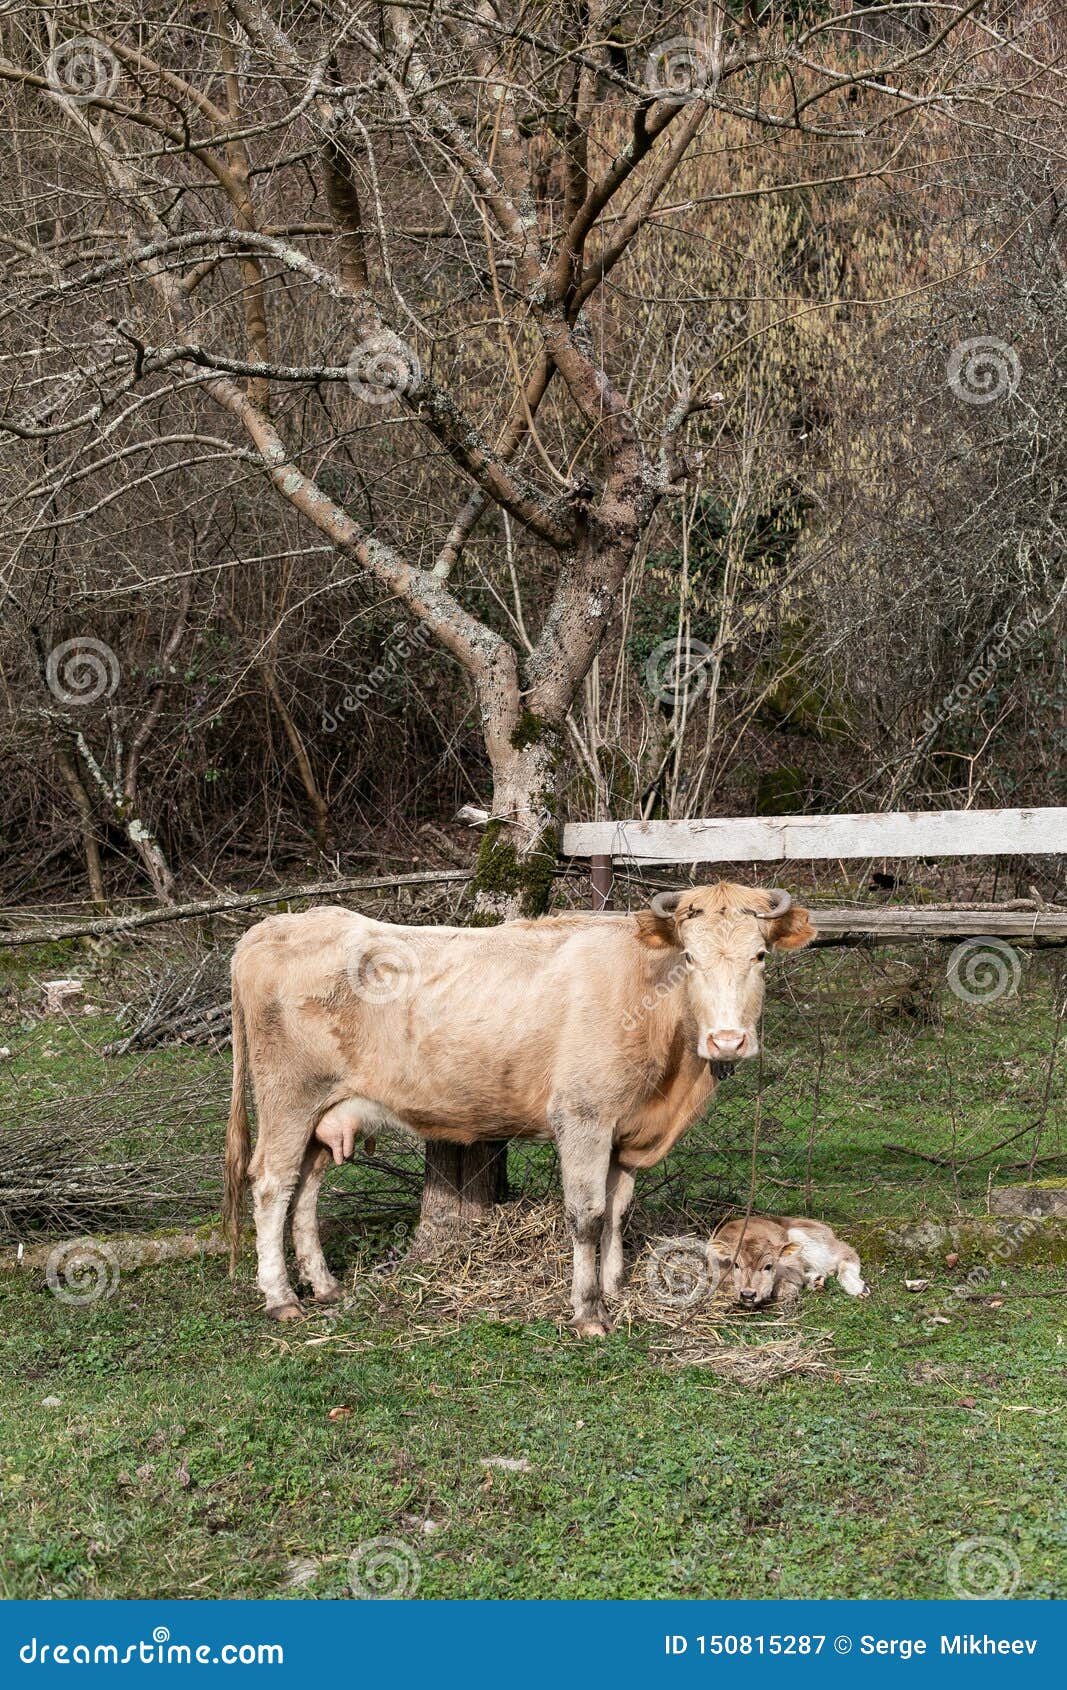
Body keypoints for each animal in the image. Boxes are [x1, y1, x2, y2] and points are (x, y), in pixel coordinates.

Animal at [222, 881, 816, 1335]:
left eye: (760, 956)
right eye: (690, 958)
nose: (727, 1041)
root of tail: (271, 927)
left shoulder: (624, 1129)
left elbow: (618, 1210)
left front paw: (615, 1287)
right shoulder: (583, 1118)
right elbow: (587, 1215)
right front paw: (589, 1312)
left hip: (327, 1113)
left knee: (305, 1189)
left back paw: (323, 1285)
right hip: (288, 1099)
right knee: (272, 1185)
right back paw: (281, 1297)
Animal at [709, 1214, 868, 1307]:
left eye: (768, 1266)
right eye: (736, 1264)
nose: (748, 1295)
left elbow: (786, 1290)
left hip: (804, 1238)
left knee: (846, 1254)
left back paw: (857, 1287)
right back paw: (817, 1281)